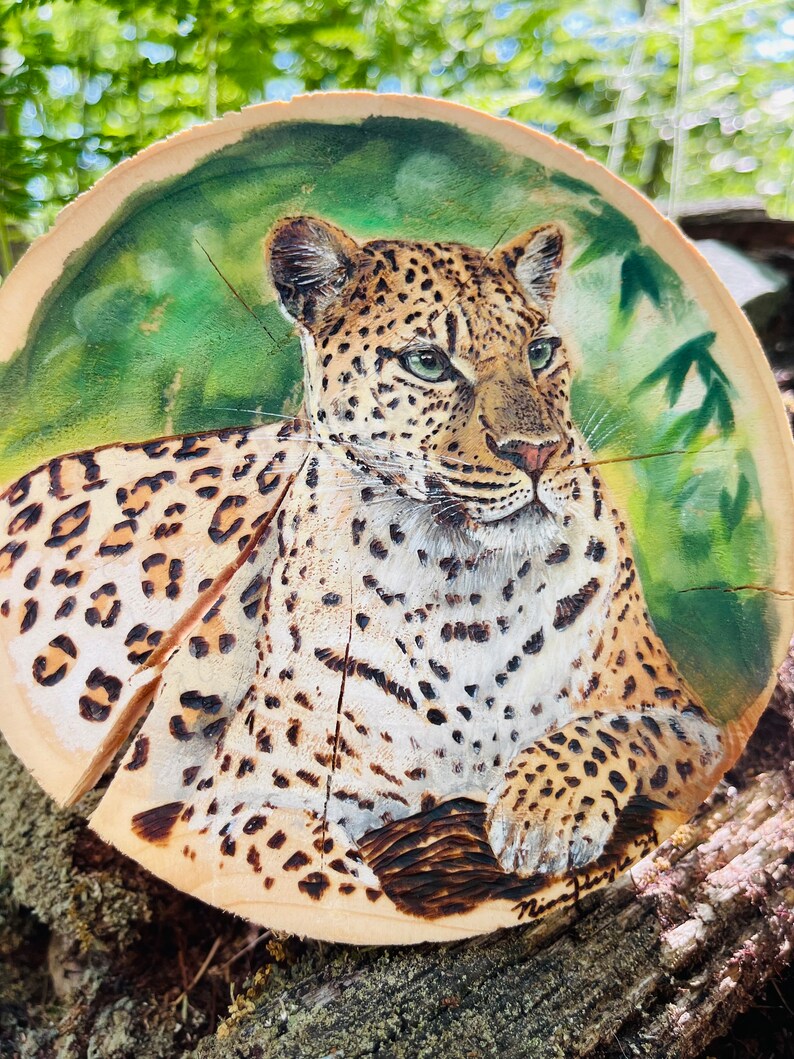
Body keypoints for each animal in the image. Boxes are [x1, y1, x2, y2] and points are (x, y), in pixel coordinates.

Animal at [0, 214, 725, 943]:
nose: (540, 452)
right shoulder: (235, 804)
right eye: (428, 362)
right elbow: (324, 883)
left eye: (542, 351)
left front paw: (541, 810)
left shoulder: (693, 721)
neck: (464, 584)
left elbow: (613, 730)